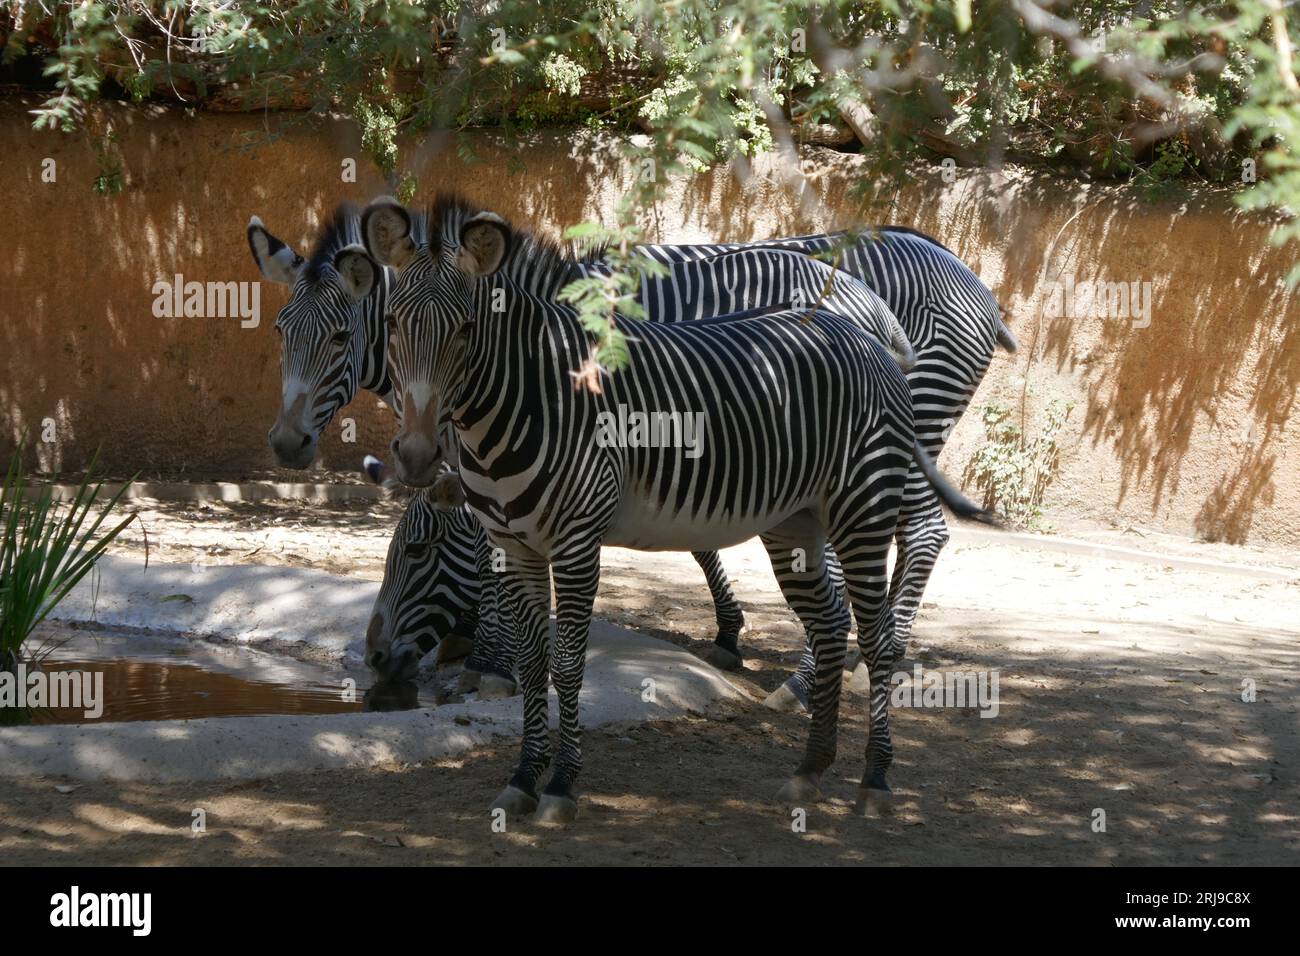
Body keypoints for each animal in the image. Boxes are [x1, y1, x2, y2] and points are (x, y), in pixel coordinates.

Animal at [360, 193, 992, 823]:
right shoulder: (517, 547)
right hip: (795, 523)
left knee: (879, 628)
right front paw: (521, 780)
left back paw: (875, 779)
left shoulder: (577, 543)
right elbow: (534, 664)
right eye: (391, 324)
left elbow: (567, 665)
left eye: (466, 330)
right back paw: (809, 770)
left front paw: (561, 786)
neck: (533, 396)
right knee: (832, 625)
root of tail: (869, 335)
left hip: (864, 504)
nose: (415, 454)